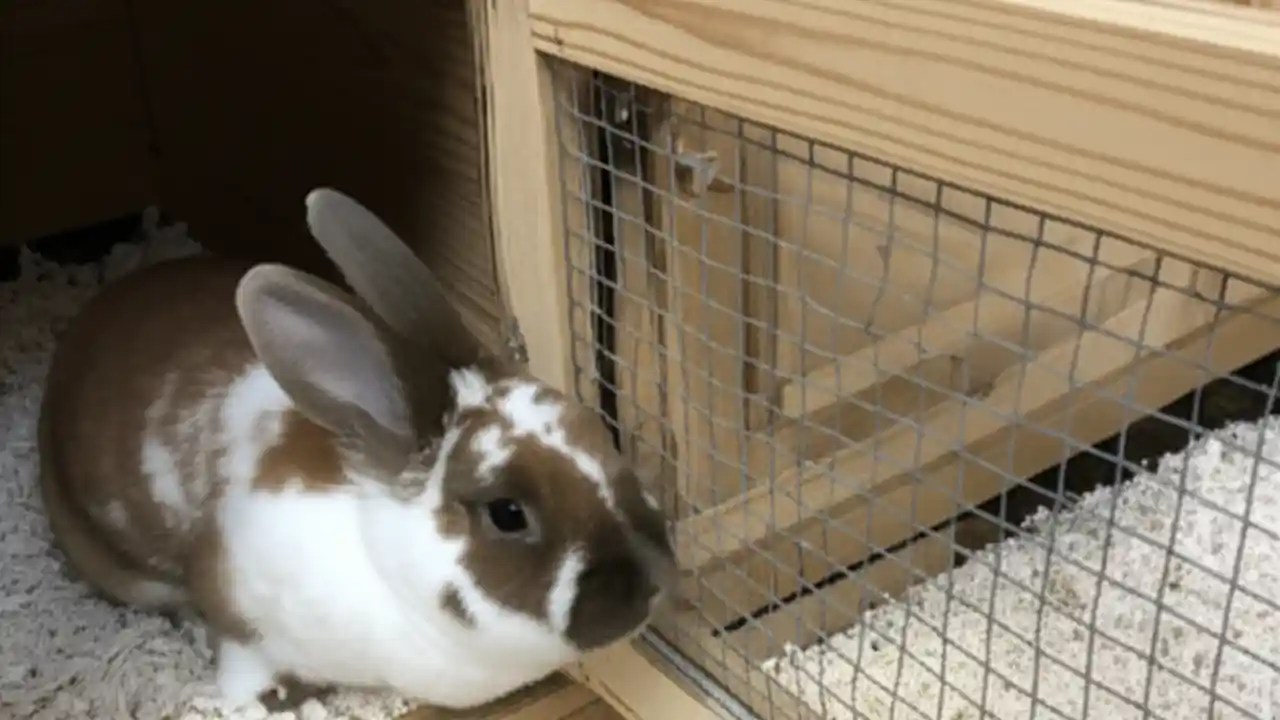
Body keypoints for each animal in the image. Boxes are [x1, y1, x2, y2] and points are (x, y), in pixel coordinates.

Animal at [37, 187, 678, 712]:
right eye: (507, 513)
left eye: (598, 432)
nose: (655, 578)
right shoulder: (238, 606)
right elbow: (241, 659)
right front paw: (262, 700)